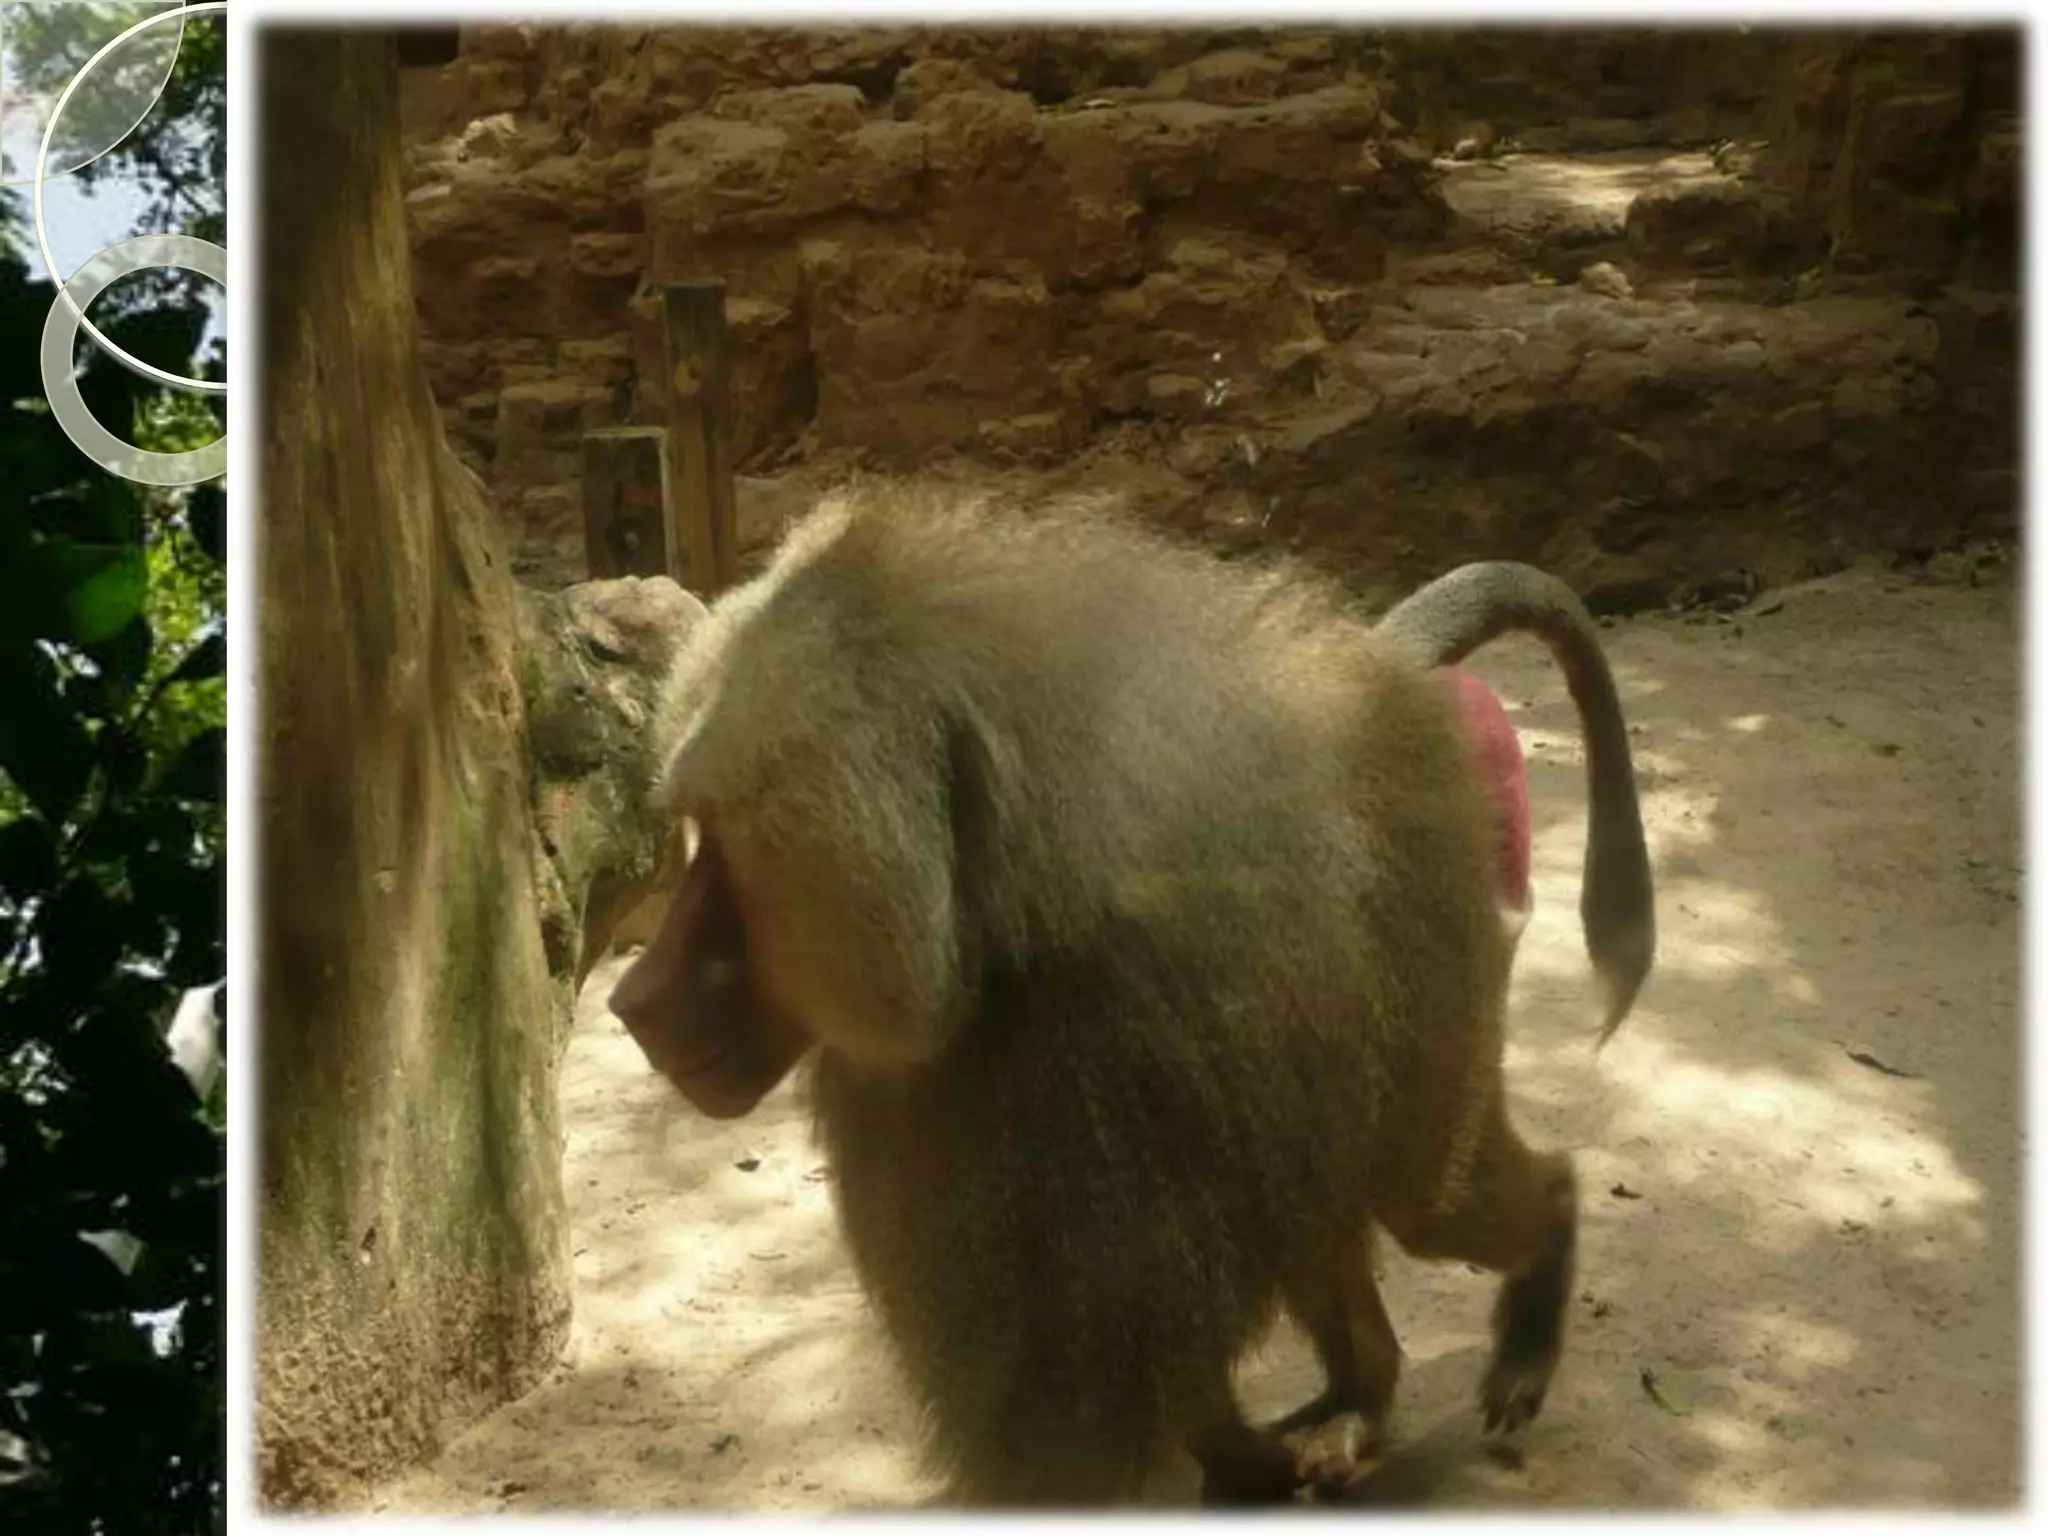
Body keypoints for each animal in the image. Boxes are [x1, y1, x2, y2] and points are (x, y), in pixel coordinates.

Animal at [607, 488, 1655, 1507]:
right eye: (698, 834)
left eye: (726, 852)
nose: (634, 1000)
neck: (1002, 913)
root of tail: (1384, 680)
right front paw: (1246, 1463)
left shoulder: (1118, 1065)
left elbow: (1112, 1335)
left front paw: (1235, 1463)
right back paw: (1357, 1404)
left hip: (1432, 947)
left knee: (1433, 1196)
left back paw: (1531, 1307)